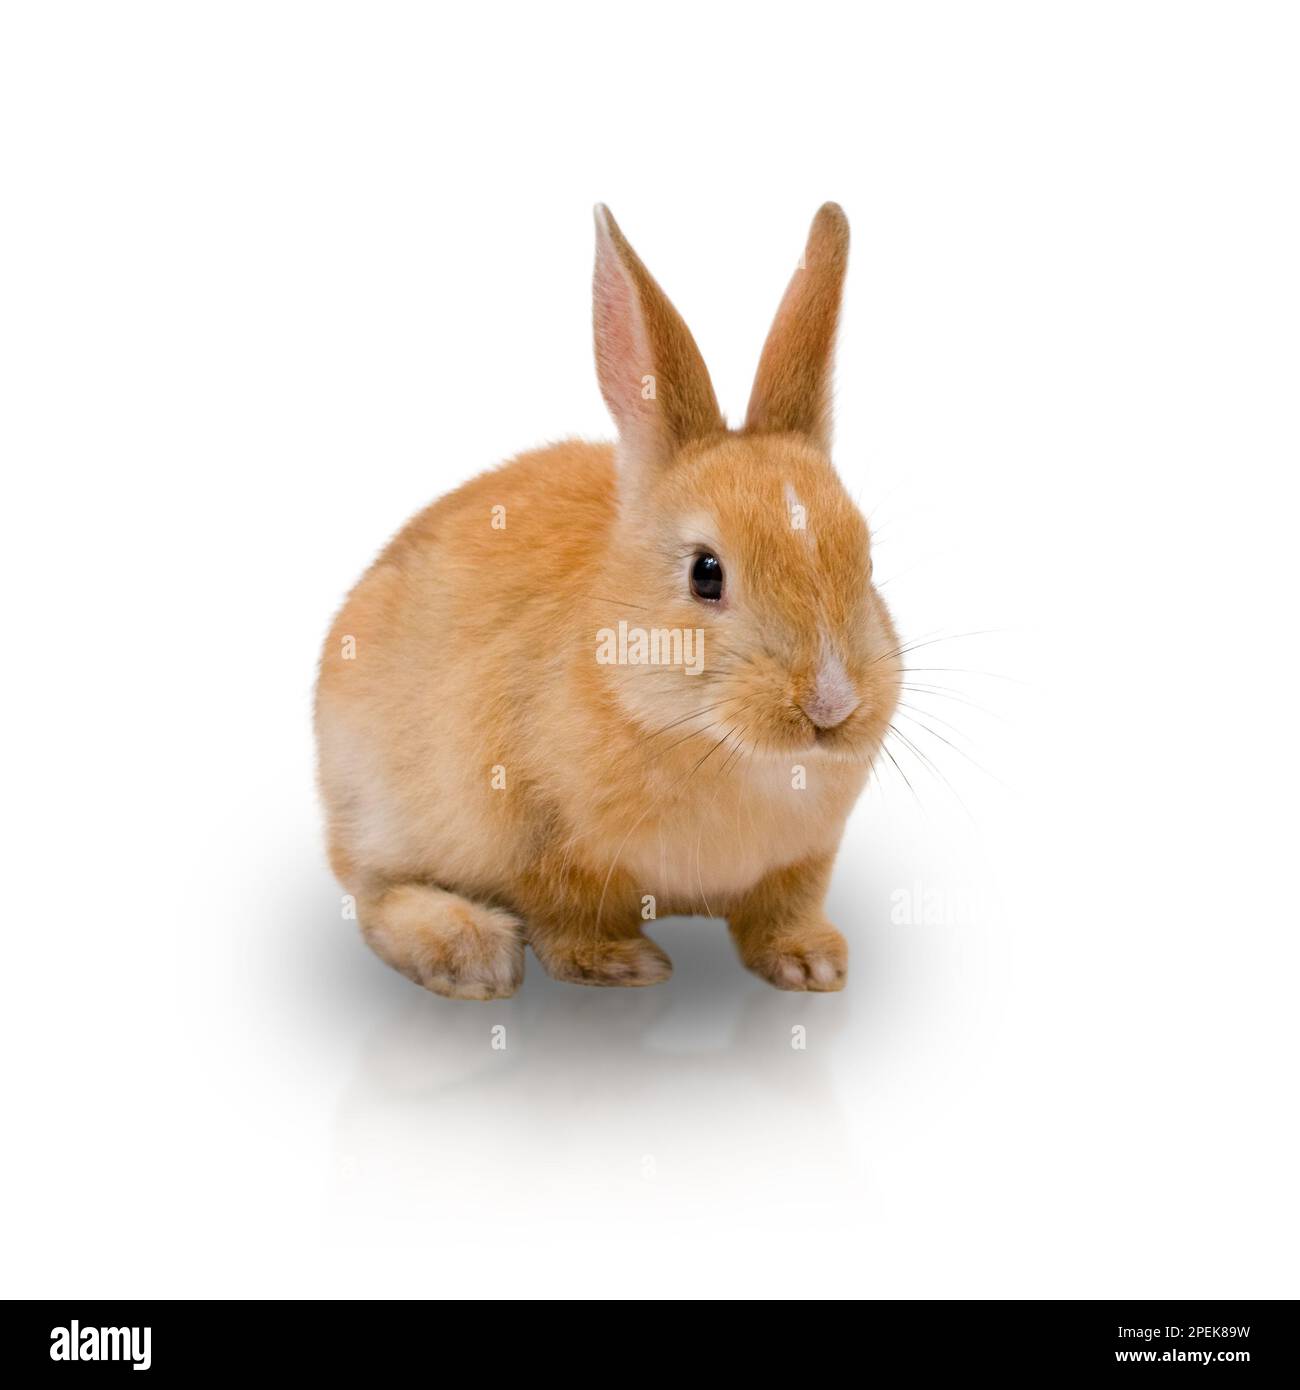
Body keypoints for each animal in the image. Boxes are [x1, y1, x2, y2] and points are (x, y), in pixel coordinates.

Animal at [315, 203, 901, 999]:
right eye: (707, 574)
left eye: (866, 559)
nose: (833, 703)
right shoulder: (544, 841)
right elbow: (566, 913)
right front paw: (622, 966)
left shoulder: (802, 861)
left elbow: (783, 908)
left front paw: (813, 964)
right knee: (374, 893)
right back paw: (471, 954)